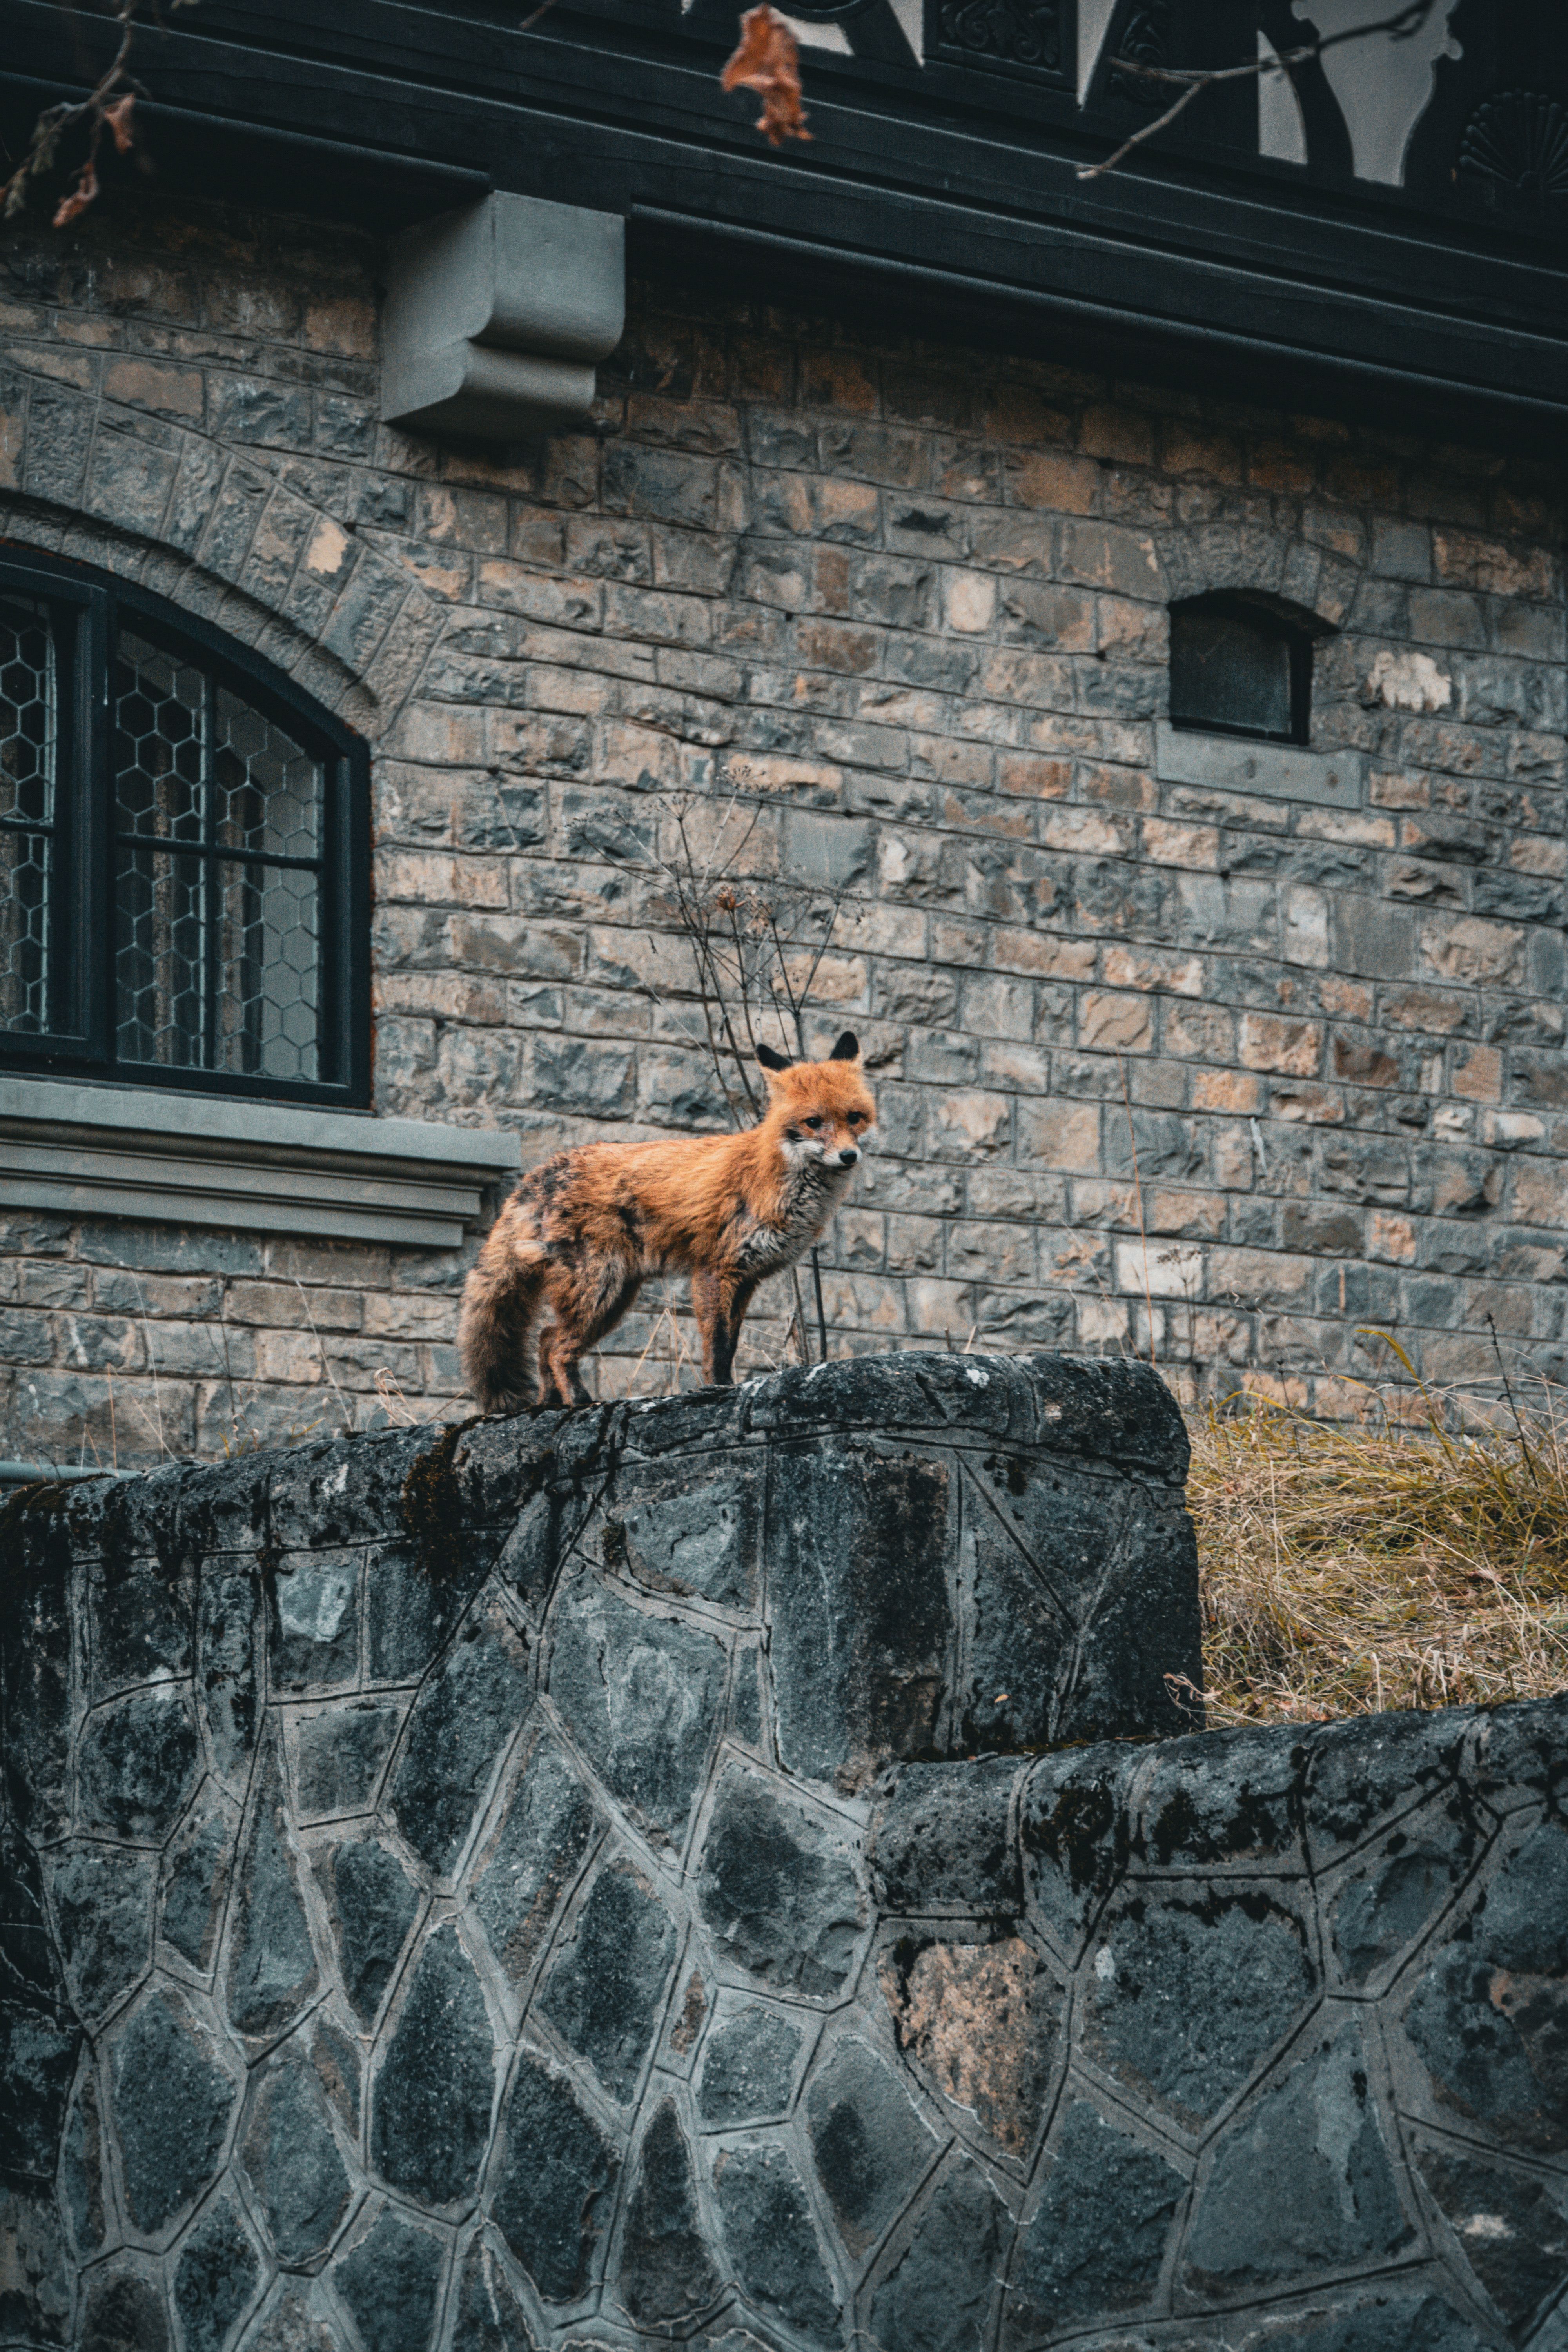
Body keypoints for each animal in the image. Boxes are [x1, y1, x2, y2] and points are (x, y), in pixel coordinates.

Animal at [458, 1030, 875, 1413]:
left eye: (854, 1118)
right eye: (814, 1122)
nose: (849, 1156)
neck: (777, 1180)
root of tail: (543, 1171)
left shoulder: (747, 1279)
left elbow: (731, 1343)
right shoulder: (714, 1271)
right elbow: (718, 1346)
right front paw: (720, 1390)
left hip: (617, 1297)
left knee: (545, 1339)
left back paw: (549, 1405)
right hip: (600, 1292)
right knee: (554, 1345)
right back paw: (578, 1402)